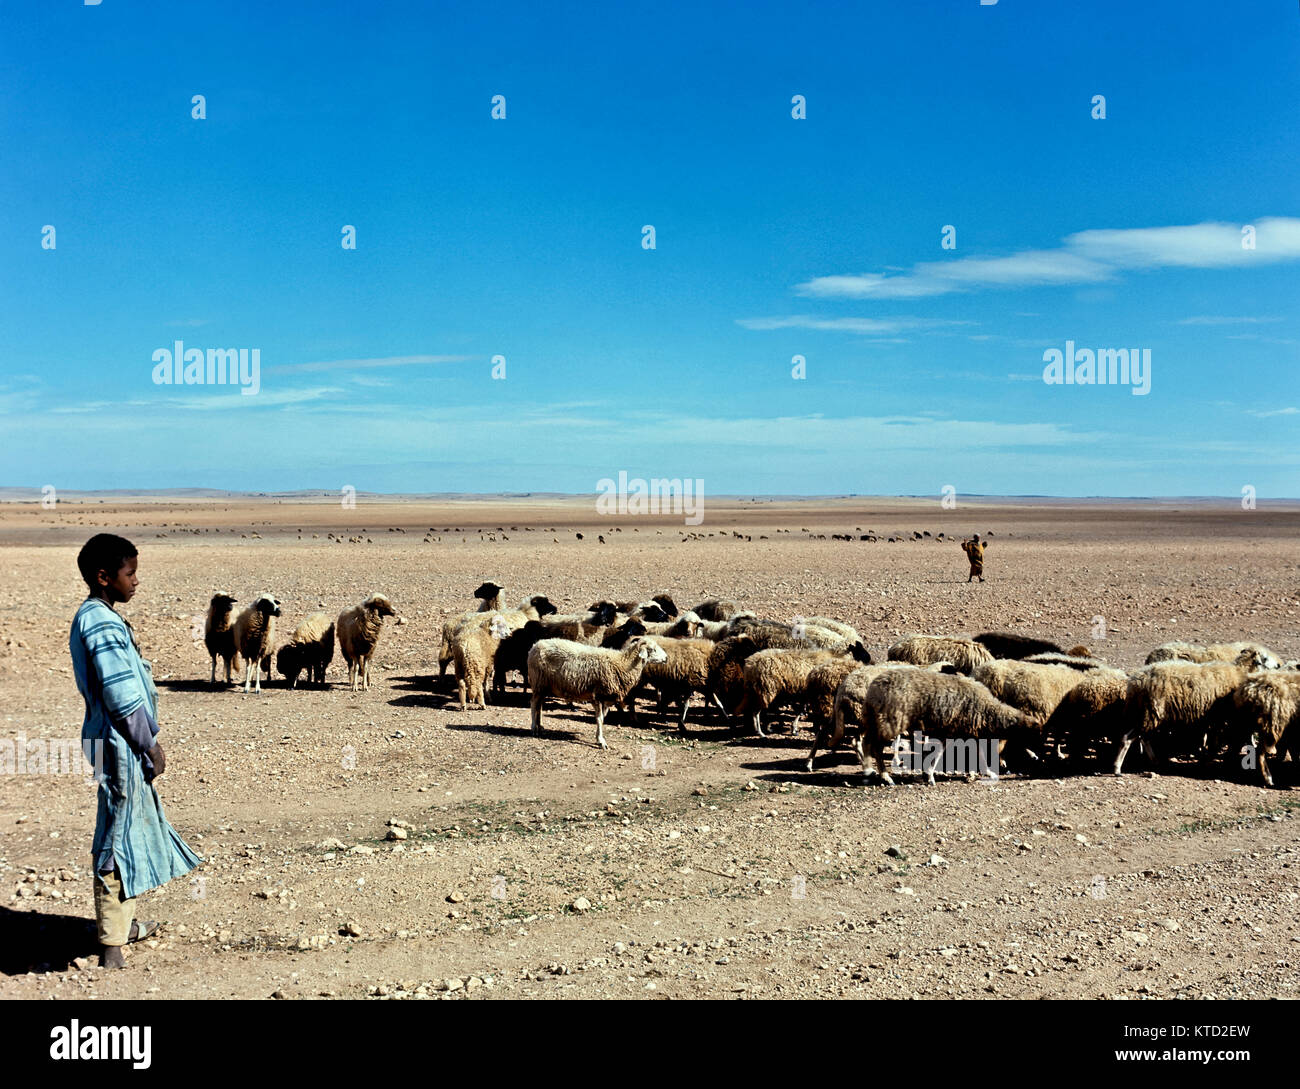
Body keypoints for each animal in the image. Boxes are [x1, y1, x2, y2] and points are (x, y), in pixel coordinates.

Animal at [527, 636, 669, 748]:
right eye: (653, 649)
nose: (667, 658)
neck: (623, 663)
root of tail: (535, 645)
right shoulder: (599, 695)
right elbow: (600, 719)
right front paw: (601, 741)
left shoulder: (604, 698)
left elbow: (602, 719)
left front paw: (598, 738)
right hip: (538, 682)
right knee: (534, 703)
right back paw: (534, 728)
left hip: (544, 686)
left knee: (539, 705)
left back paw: (540, 726)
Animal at [862, 668, 1040, 785]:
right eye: (1030, 734)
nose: (1036, 757)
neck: (989, 711)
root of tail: (873, 689)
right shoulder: (957, 731)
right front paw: (931, 776)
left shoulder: (958, 732)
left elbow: (972, 753)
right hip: (889, 722)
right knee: (875, 748)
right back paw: (885, 776)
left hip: (874, 721)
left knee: (867, 743)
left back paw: (869, 770)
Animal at [1114, 660, 1250, 775]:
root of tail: (1135, 683)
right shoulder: (1218, 720)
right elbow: (1214, 743)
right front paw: (1208, 760)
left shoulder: (1212, 721)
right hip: (1150, 713)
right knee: (1127, 738)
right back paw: (1117, 768)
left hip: (1146, 714)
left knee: (1144, 738)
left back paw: (1155, 761)